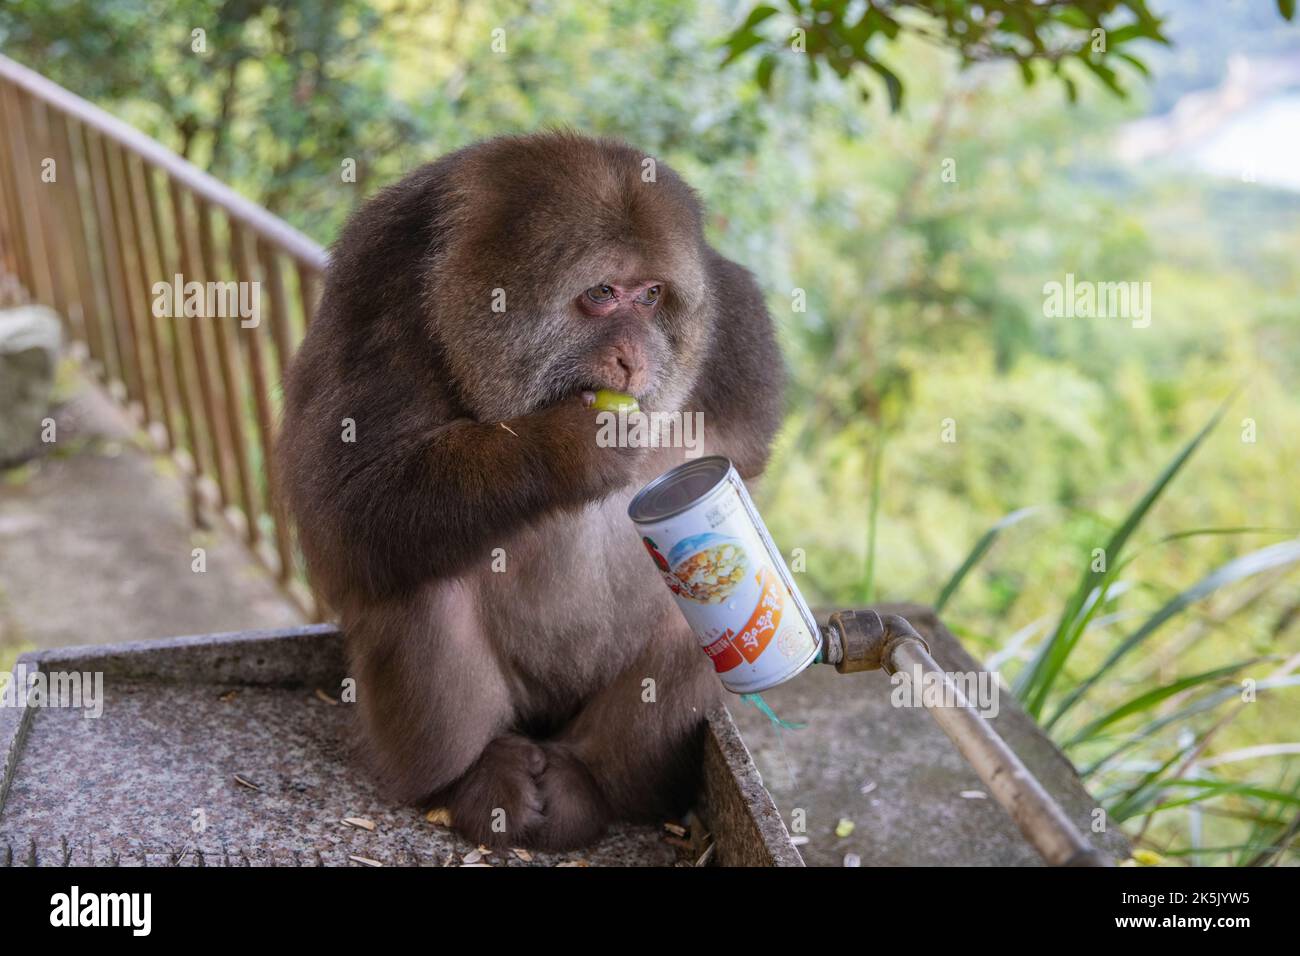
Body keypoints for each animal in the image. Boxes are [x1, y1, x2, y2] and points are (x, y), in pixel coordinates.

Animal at [276, 130, 785, 851]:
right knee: (422, 577)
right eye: (602, 292)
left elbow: (740, 463)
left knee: (686, 620)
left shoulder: (740, 328)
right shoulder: (374, 297)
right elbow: (343, 509)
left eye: (652, 295)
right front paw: (566, 447)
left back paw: (588, 780)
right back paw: (469, 777)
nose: (633, 357)